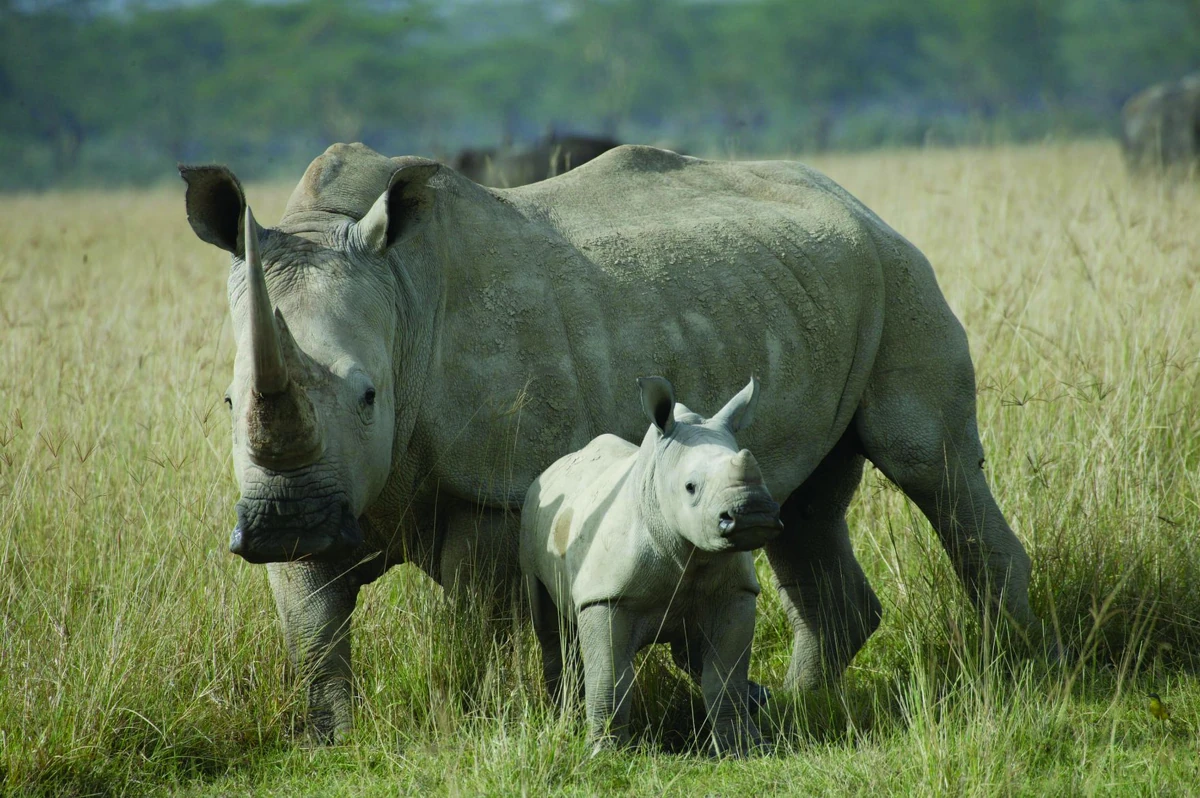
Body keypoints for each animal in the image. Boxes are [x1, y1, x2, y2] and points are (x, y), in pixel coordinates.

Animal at [521, 375, 780, 755]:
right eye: (690, 487)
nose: (754, 513)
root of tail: (552, 468)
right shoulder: (605, 596)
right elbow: (611, 677)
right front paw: (605, 752)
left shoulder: (735, 591)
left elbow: (724, 677)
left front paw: (744, 749)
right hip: (532, 516)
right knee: (552, 631)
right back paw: (563, 718)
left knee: (691, 655)